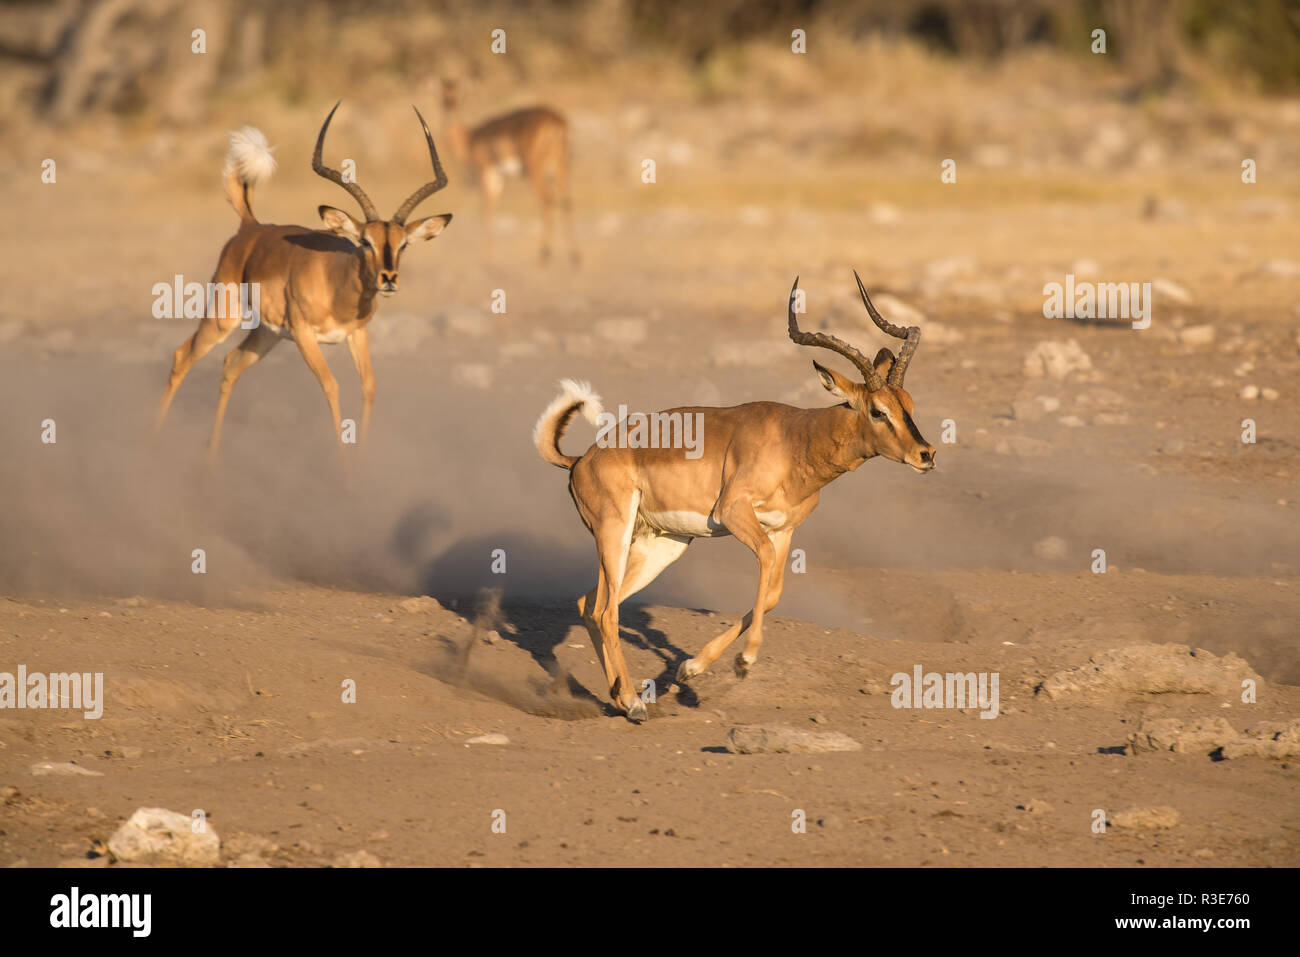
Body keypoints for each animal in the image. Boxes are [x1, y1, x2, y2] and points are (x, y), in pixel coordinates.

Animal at [156, 102, 453, 456]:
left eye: (402, 244)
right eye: (365, 241)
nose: (389, 278)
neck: (336, 285)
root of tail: (252, 227)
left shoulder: (357, 334)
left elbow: (369, 386)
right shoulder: (304, 335)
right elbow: (332, 386)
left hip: (266, 334)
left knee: (230, 363)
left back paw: (210, 456)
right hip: (223, 317)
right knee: (182, 356)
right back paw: (152, 443)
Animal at [440, 78, 576, 264]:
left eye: (460, 94)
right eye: (441, 93)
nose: (448, 109)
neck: (471, 138)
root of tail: (558, 123)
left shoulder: (488, 173)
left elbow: (486, 212)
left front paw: (487, 260)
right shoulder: (500, 178)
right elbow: (492, 210)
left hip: (536, 171)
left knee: (547, 202)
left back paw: (544, 254)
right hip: (561, 169)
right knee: (567, 202)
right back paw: (574, 257)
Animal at [534, 273, 936, 721]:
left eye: (909, 404)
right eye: (878, 410)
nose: (926, 454)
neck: (795, 441)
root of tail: (580, 458)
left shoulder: (784, 529)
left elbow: (774, 592)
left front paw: (690, 669)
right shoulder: (734, 513)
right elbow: (764, 563)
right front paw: (744, 662)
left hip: (663, 546)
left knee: (590, 604)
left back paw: (623, 697)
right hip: (614, 533)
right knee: (605, 610)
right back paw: (635, 703)